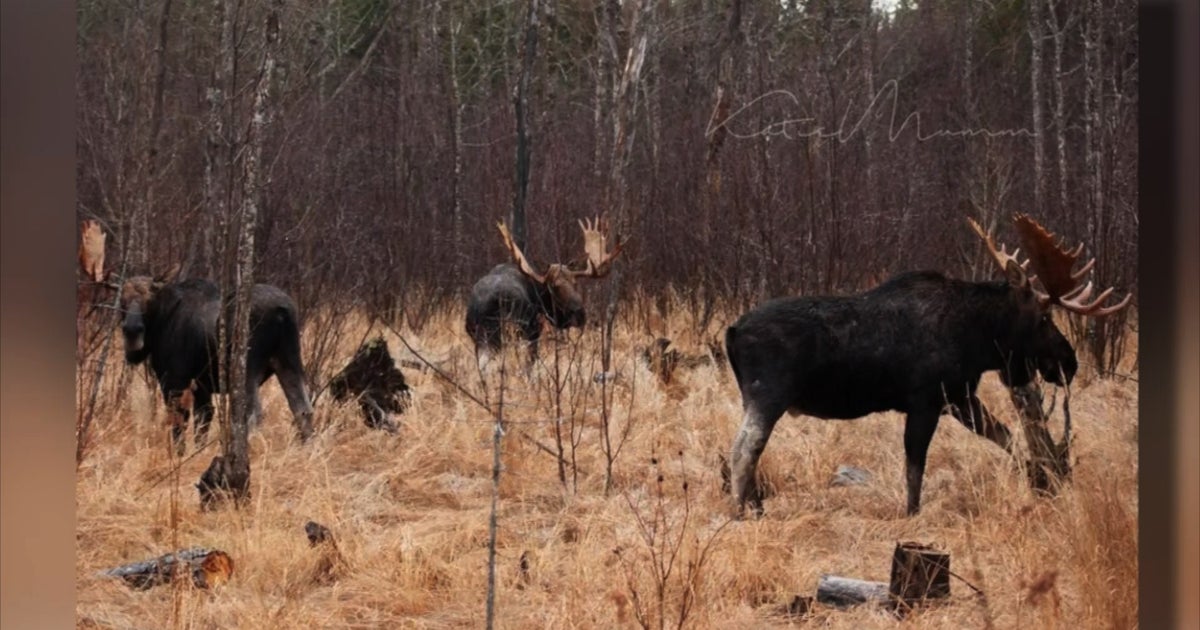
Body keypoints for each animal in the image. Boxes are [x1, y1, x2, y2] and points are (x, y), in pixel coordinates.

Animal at [118, 272, 314, 455]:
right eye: (123, 300)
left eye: (150, 299)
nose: (132, 330)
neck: (161, 322)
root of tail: (282, 311)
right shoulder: (202, 385)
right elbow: (202, 421)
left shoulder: (175, 381)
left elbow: (179, 420)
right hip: (289, 361)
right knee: (303, 410)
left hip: (246, 368)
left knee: (254, 414)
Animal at [724, 214, 1131, 517]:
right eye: (1044, 319)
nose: (1069, 361)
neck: (976, 338)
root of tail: (732, 331)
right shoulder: (926, 401)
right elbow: (915, 467)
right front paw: (912, 514)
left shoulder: (960, 397)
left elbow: (1005, 436)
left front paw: (1038, 479)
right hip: (768, 394)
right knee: (742, 451)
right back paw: (740, 513)